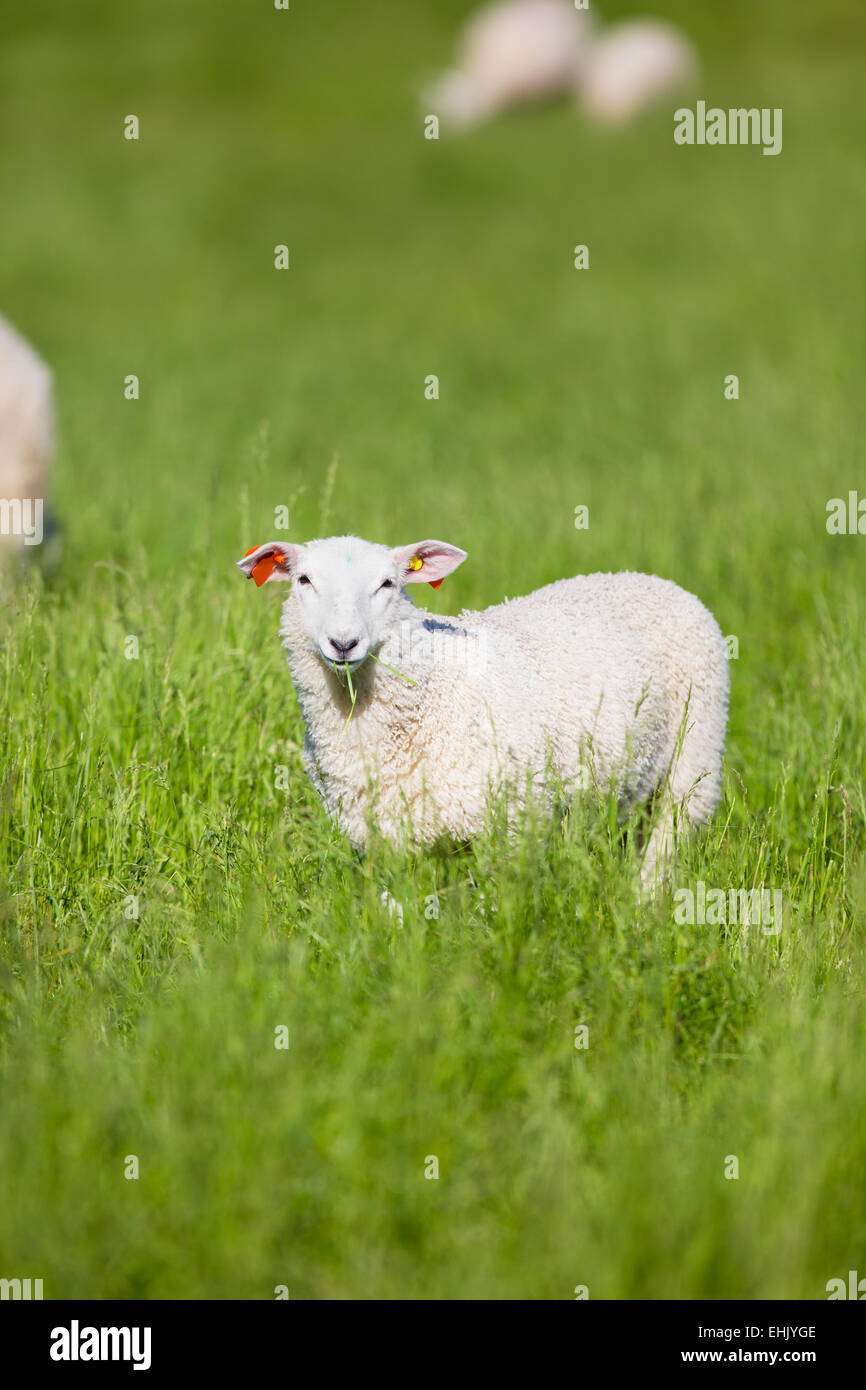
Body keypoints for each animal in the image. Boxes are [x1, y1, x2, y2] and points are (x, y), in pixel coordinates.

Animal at [237, 535, 729, 885]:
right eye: (304, 581)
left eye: (388, 584)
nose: (343, 643)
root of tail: (647, 578)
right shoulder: (382, 839)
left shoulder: (510, 823)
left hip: (695, 758)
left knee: (665, 847)